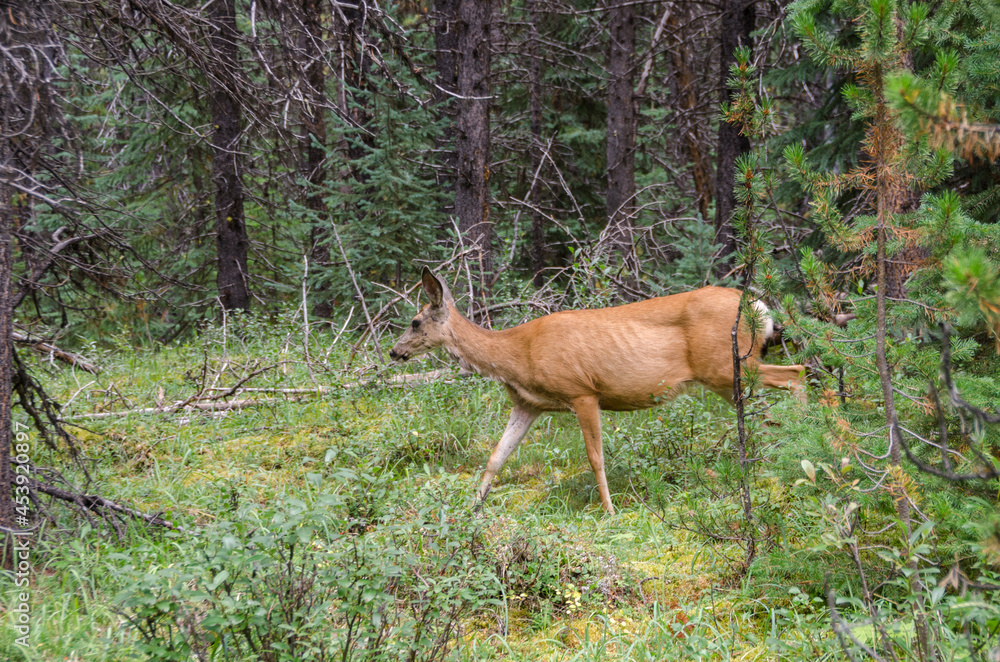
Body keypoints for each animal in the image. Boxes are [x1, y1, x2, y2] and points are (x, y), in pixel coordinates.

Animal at [389, 268, 806, 515]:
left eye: (414, 322)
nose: (394, 352)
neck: (518, 354)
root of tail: (759, 307)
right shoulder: (528, 404)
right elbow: (496, 457)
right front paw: (471, 509)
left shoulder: (582, 392)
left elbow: (595, 458)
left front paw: (609, 511)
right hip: (730, 376)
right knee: (774, 402)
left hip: (726, 366)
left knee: (797, 374)